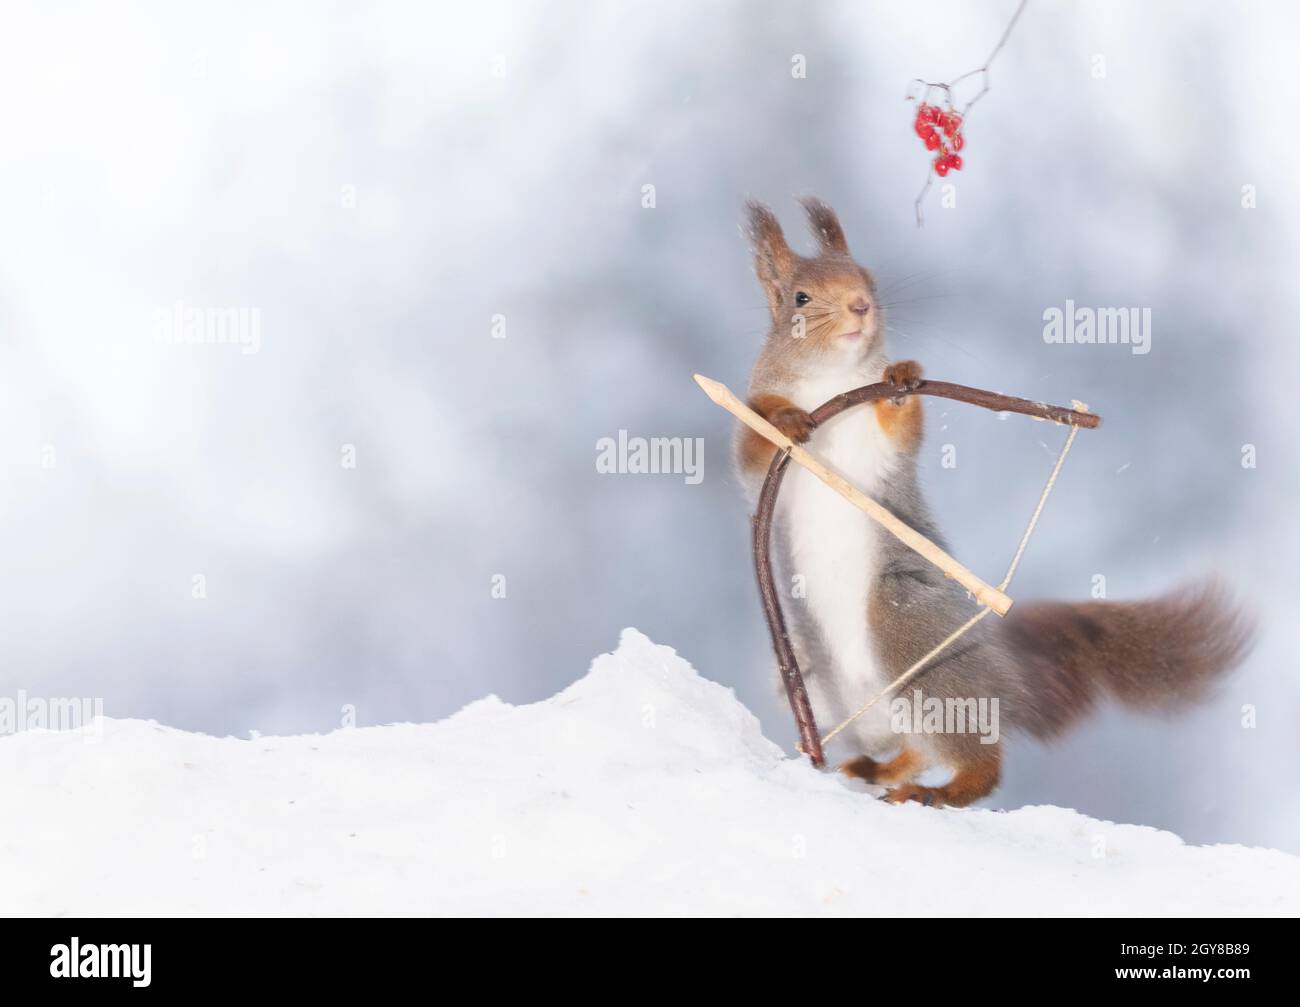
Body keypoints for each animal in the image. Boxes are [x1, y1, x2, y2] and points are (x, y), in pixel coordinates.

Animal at [734, 197, 1254, 808]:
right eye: (801, 298)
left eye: (870, 279)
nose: (860, 306)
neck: (831, 380)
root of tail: (1003, 681)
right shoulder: (758, 440)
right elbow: (751, 445)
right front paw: (785, 419)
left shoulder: (881, 444)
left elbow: (899, 432)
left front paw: (902, 375)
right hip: (837, 685)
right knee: (916, 749)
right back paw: (877, 772)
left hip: (909, 635)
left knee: (982, 762)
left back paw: (939, 791)